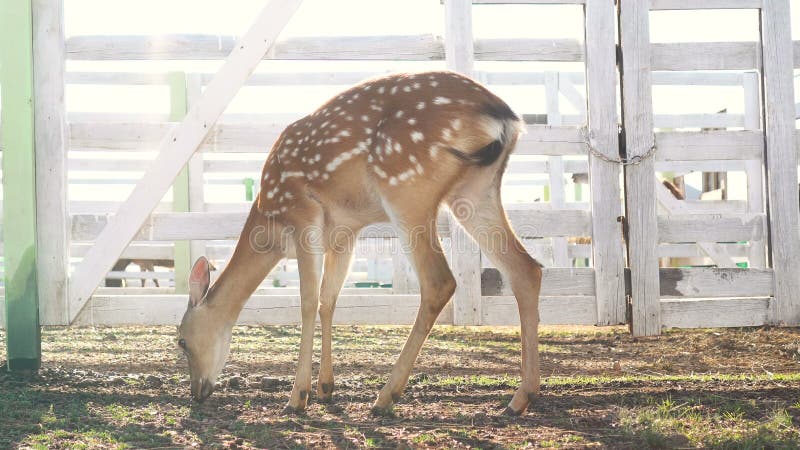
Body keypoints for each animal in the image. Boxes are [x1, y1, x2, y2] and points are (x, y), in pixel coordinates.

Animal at [177, 70, 543, 416]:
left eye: (181, 341)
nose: (197, 393)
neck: (271, 222)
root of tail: (504, 117)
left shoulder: (302, 215)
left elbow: (308, 301)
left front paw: (297, 398)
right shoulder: (344, 231)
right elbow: (329, 299)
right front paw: (325, 388)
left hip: (407, 187)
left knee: (440, 281)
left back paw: (385, 397)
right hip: (475, 191)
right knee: (526, 268)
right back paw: (519, 399)